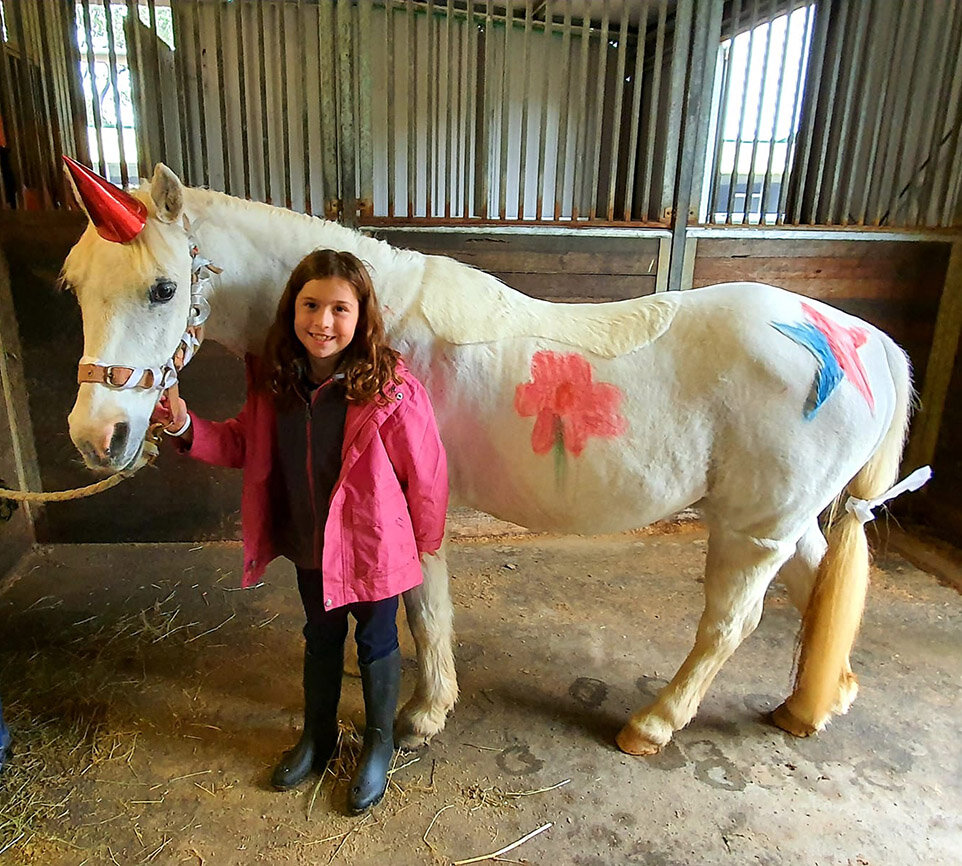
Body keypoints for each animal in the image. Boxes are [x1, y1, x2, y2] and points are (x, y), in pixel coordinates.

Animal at [60, 161, 917, 756]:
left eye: (163, 288)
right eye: (73, 288)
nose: (97, 436)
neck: (377, 333)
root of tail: (861, 340)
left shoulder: (410, 504)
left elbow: (424, 609)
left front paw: (422, 714)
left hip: (751, 531)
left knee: (730, 624)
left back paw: (654, 724)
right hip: (781, 521)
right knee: (821, 589)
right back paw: (816, 702)